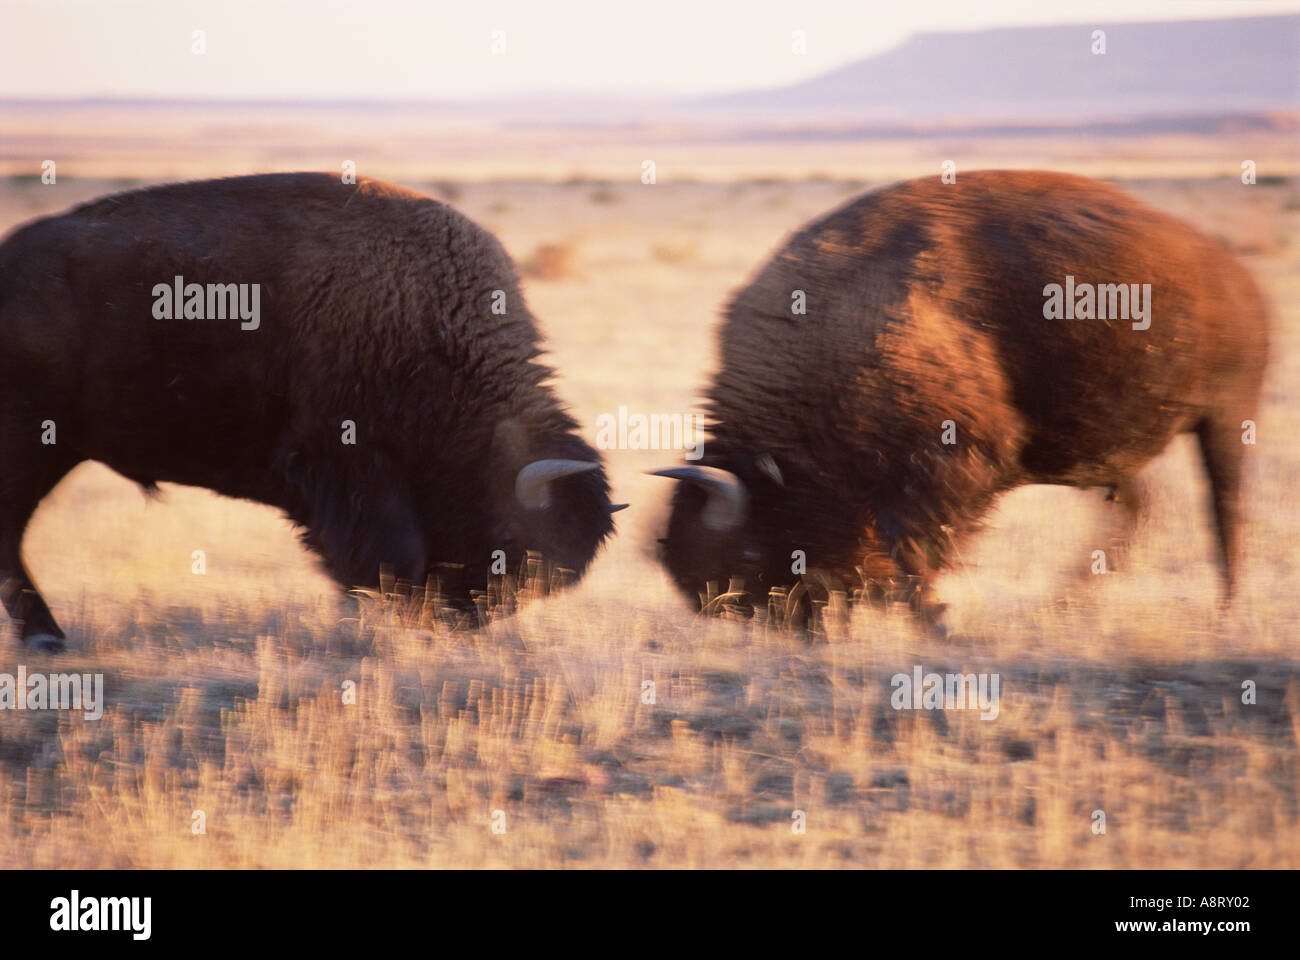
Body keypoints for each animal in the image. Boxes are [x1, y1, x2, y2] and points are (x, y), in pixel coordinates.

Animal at [1, 173, 619, 650]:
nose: (467, 618)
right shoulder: (348, 468)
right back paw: (46, 637)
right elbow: (392, 555)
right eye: (514, 542)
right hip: (30, 443)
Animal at [653, 170, 1268, 626]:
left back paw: (1227, 610)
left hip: (1225, 419)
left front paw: (935, 621)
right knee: (1139, 511)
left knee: (1227, 510)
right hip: (1112, 453)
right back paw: (1065, 602)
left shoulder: (940, 465)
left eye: (749, 553)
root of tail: (1237, 275)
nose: (781, 620)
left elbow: (915, 553)